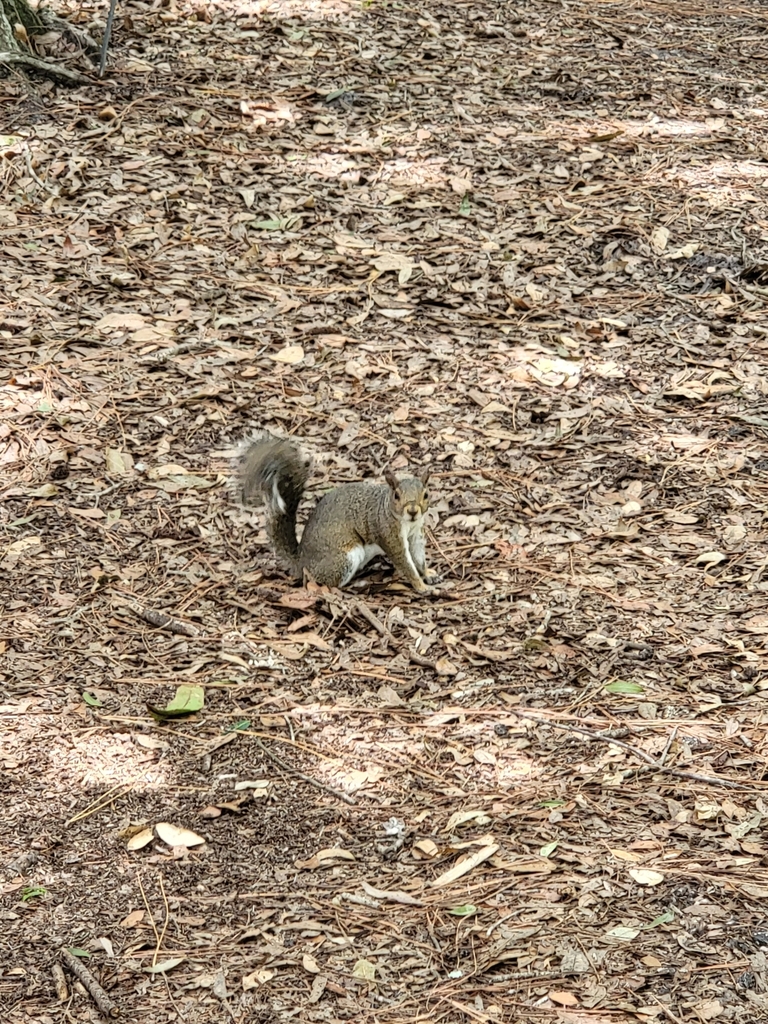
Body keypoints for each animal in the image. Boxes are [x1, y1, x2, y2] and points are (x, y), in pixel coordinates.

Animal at [238, 433, 441, 593]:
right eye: (397, 496)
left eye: (426, 494)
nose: (413, 511)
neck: (407, 522)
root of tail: (302, 562)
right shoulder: (388, 534)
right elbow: (405, 563)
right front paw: (422, 586)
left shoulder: (415, 535)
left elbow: (418, 558)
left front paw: (428, 573)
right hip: (344, 558)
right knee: (327, 583)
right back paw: (356, 585)